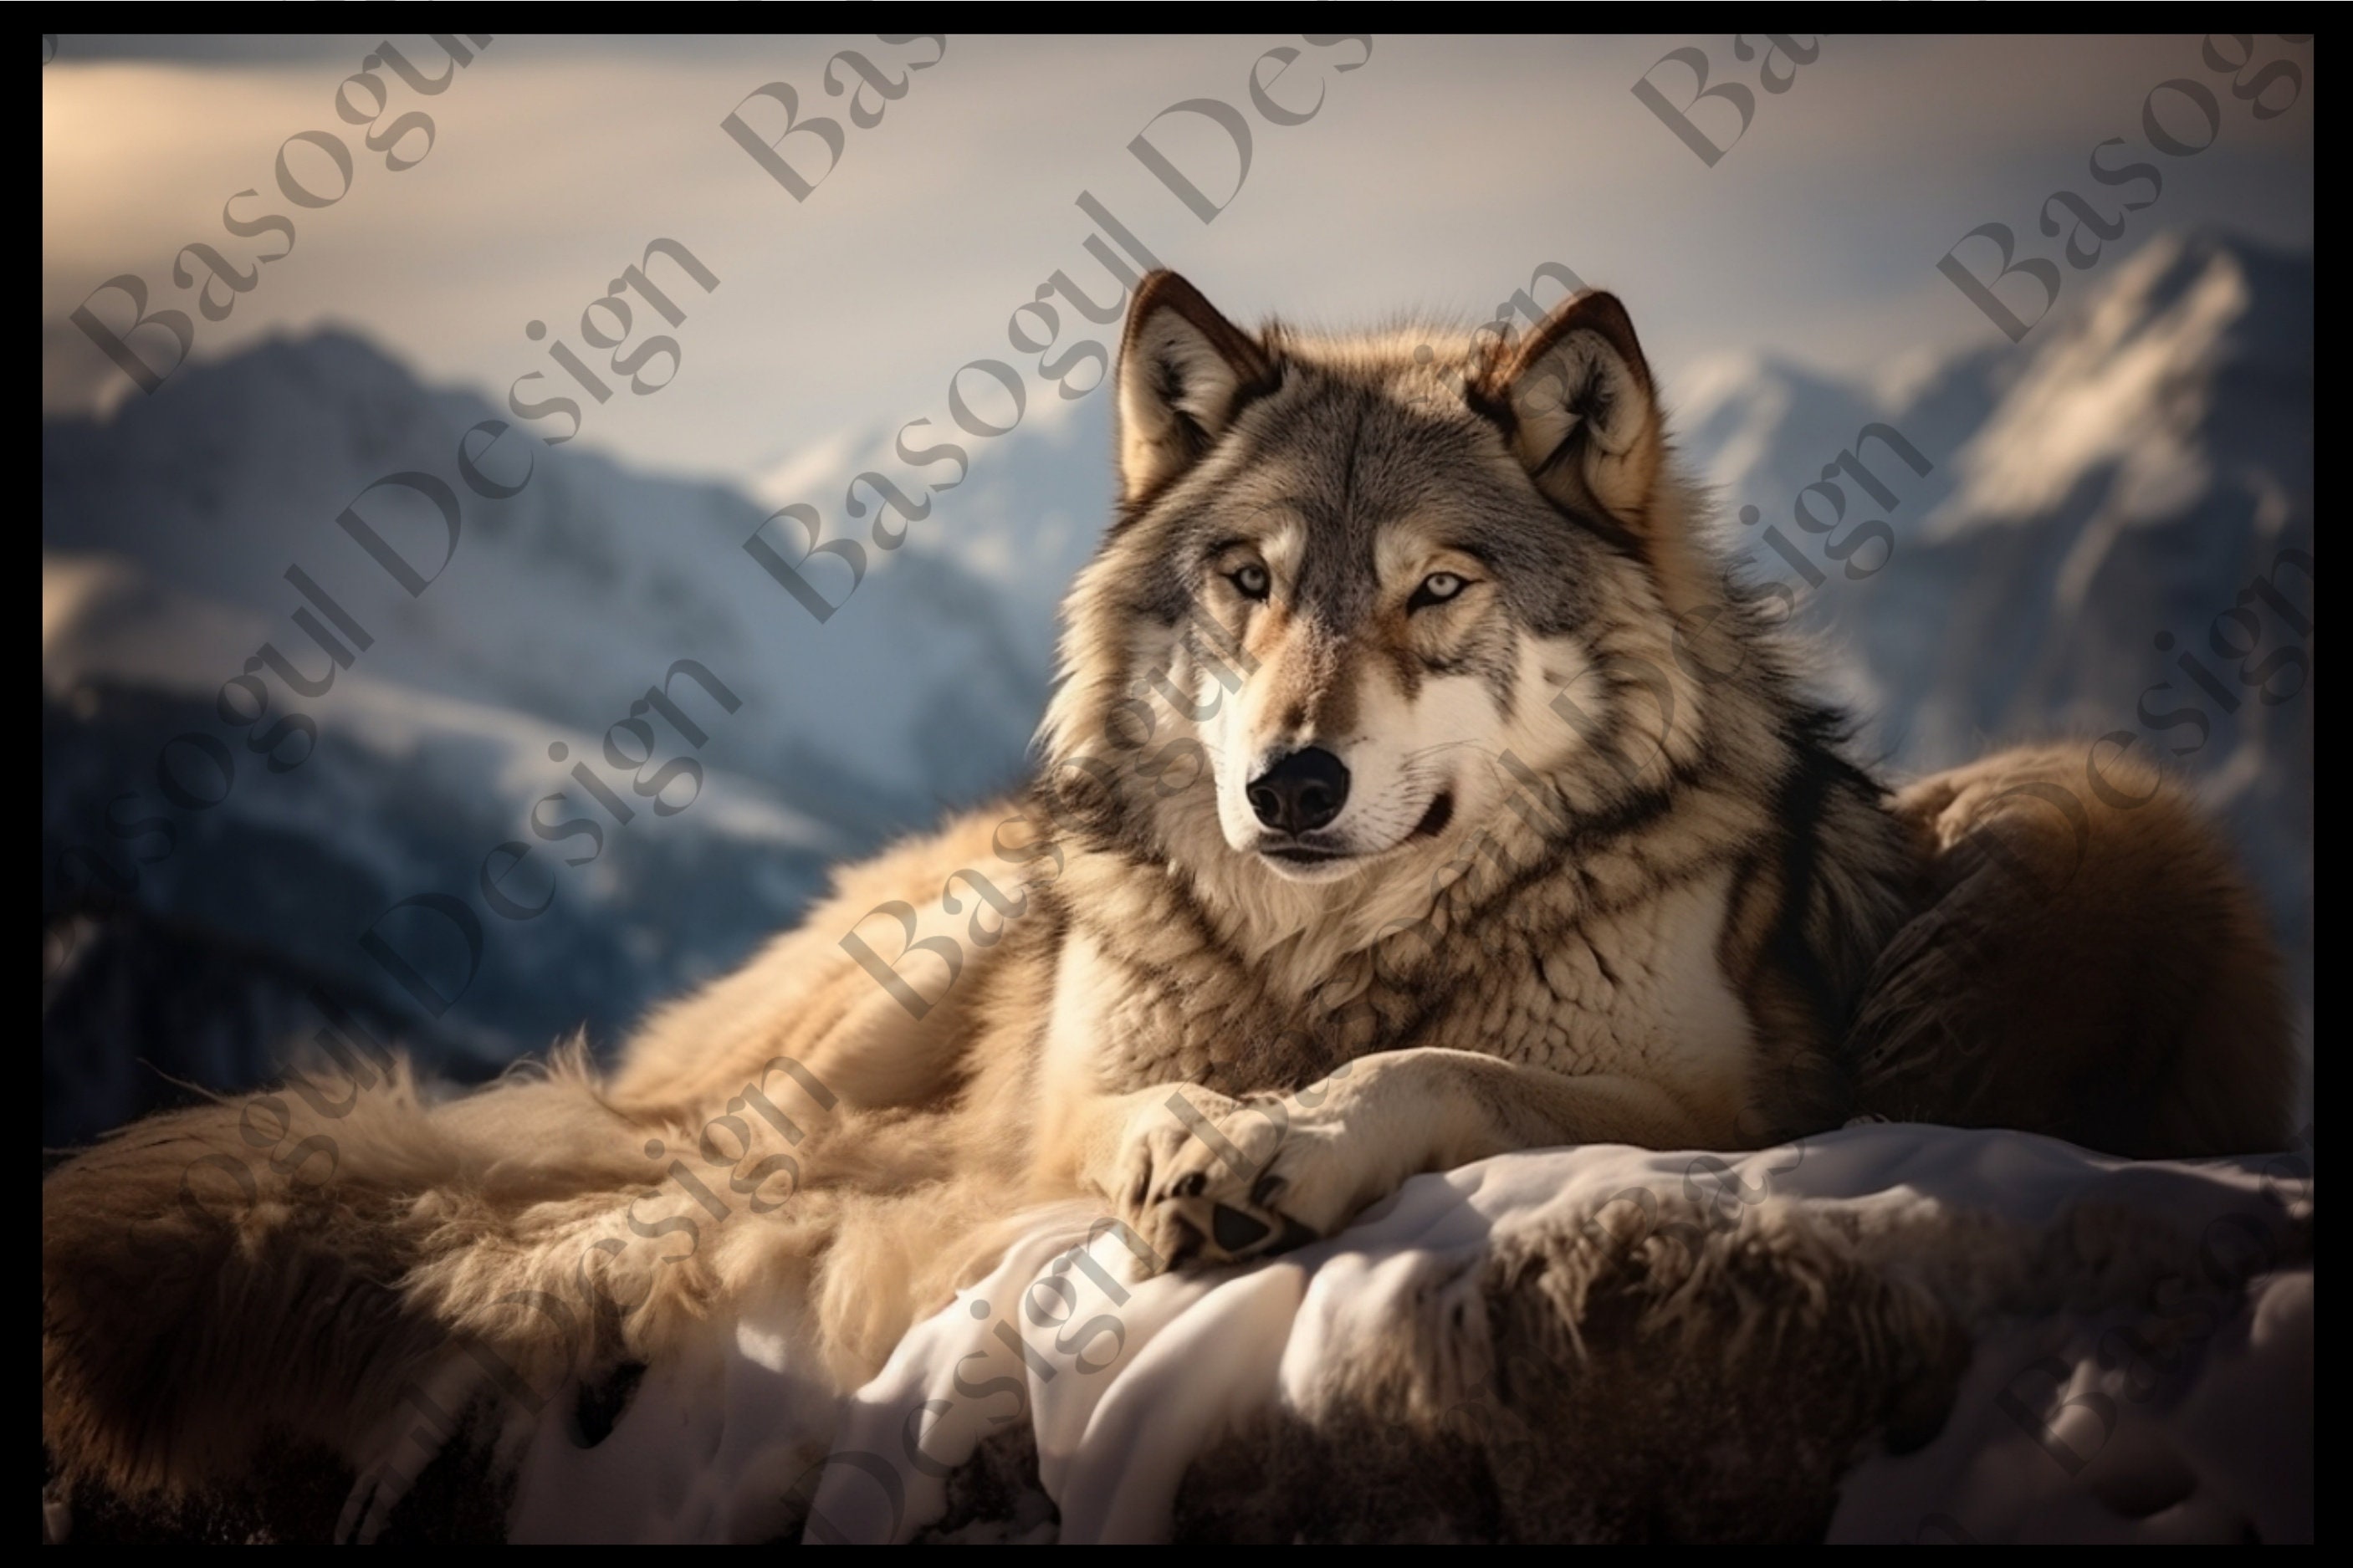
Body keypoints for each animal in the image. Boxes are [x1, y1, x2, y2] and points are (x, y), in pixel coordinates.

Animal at [41, 273, 2297, 1522]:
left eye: (1433, 590)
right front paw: (1199, 1141)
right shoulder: (1075, 1079)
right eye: (1247, 580)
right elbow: (1129, 1101)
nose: (1286, 777)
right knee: (658, 1160)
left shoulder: (1713, 1099)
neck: (1330, 946)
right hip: (903, 982)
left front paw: (1283, 1142)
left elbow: (1437, 1064)